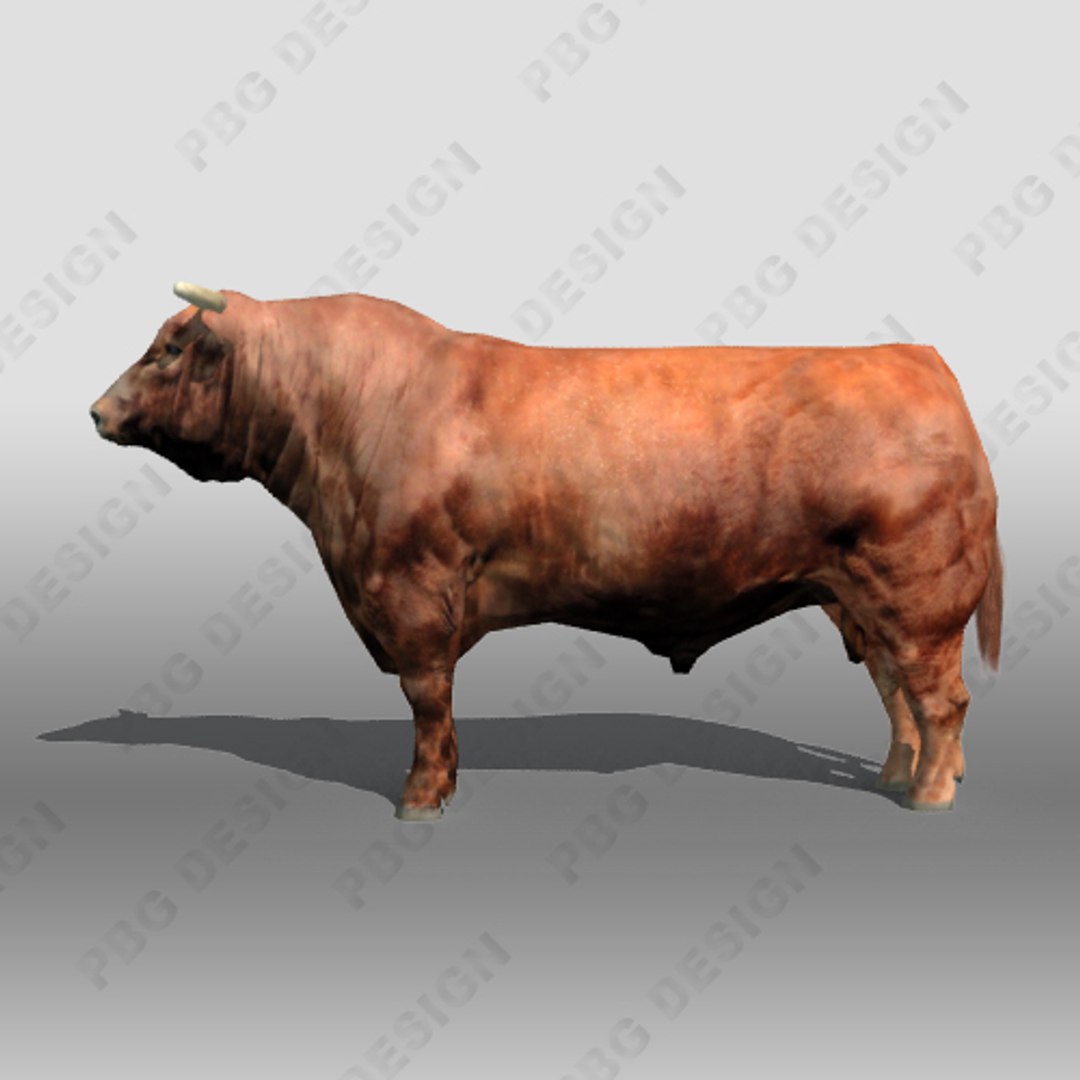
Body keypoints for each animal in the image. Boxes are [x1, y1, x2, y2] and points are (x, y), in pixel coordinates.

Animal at [90, 282, 1003, 821]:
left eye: (168, 349)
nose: (98, 411)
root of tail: (920, 360)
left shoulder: (413, 590)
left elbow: (428, 699)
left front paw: (422, 796)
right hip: (859, 600)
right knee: (898, 696)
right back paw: (895, 777)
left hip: (918, 595)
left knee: (941, 699)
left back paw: (929, 795)